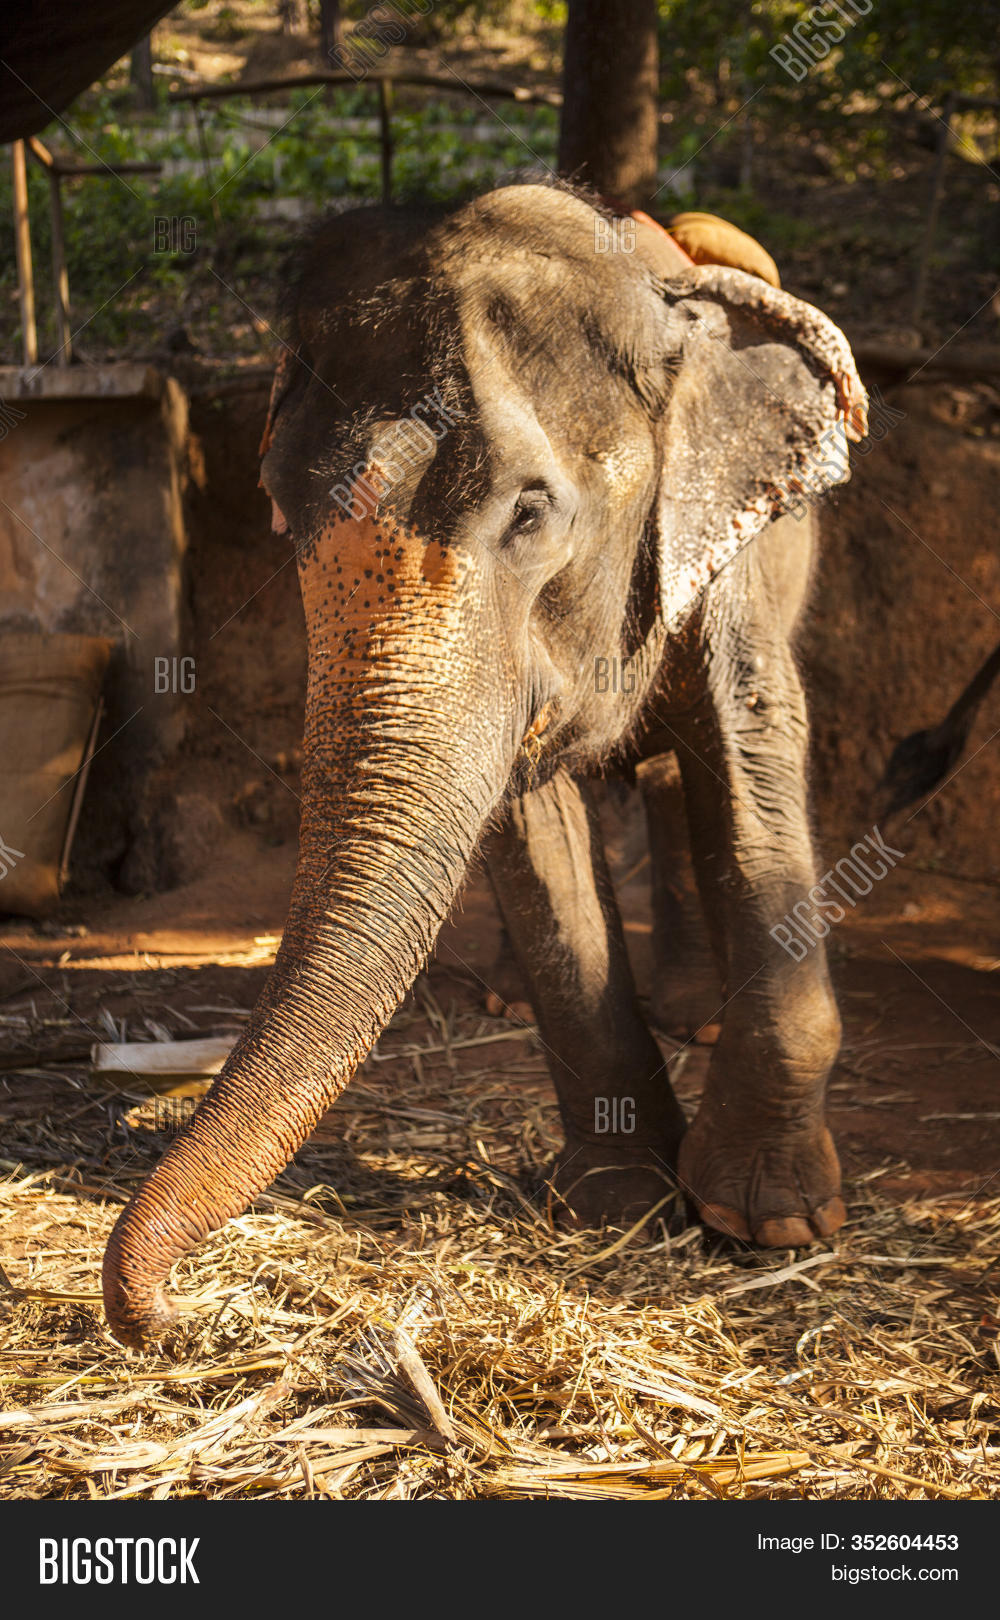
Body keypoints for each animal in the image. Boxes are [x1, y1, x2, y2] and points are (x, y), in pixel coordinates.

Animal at [102, 182, 868, 1348]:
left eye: (530, 512)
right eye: (277, 512)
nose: (162, 1316)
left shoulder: (731, 541)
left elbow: (752, 754)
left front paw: (767, 1220)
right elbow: (529, 827)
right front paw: (615, 1206)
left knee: (680, 780)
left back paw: (694, 1015)